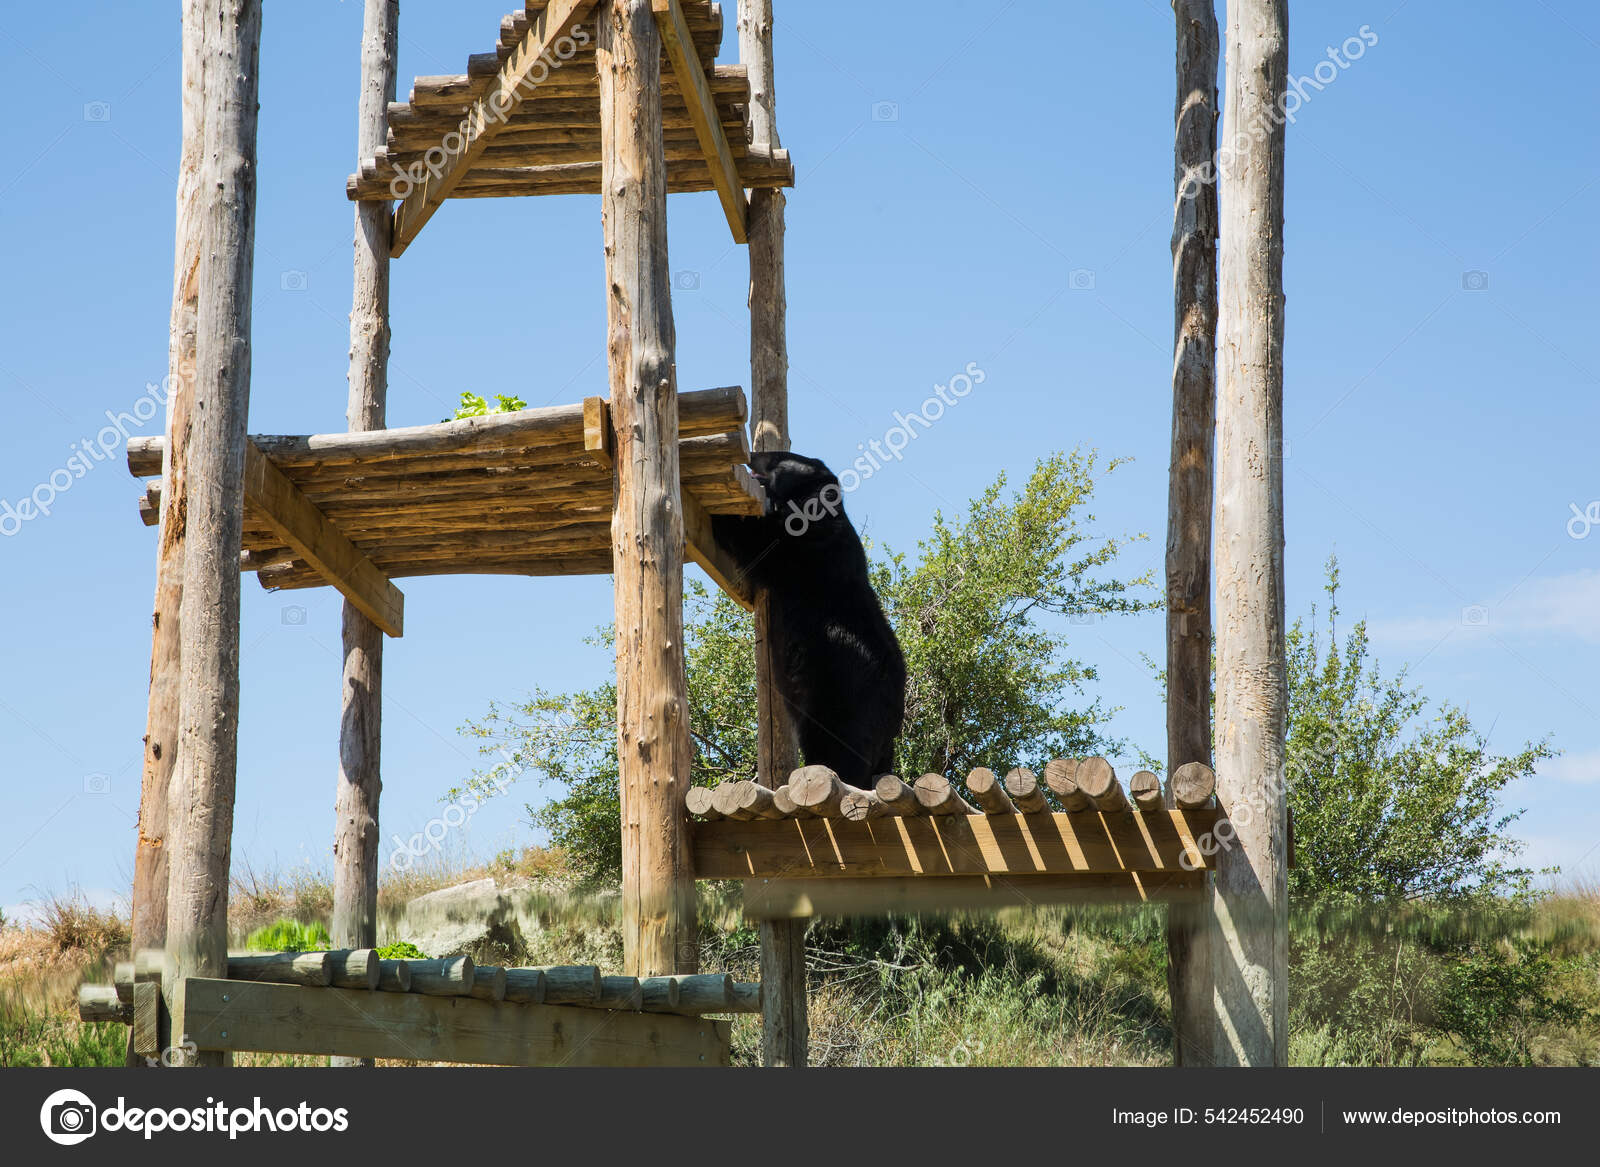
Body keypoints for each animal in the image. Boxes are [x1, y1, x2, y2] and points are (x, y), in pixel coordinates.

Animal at [712, 451, 907, 788]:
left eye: (776, 461)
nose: (753, 455)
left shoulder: (807, 550)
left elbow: (757, 540)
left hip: (842, 695)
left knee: (837, 746)